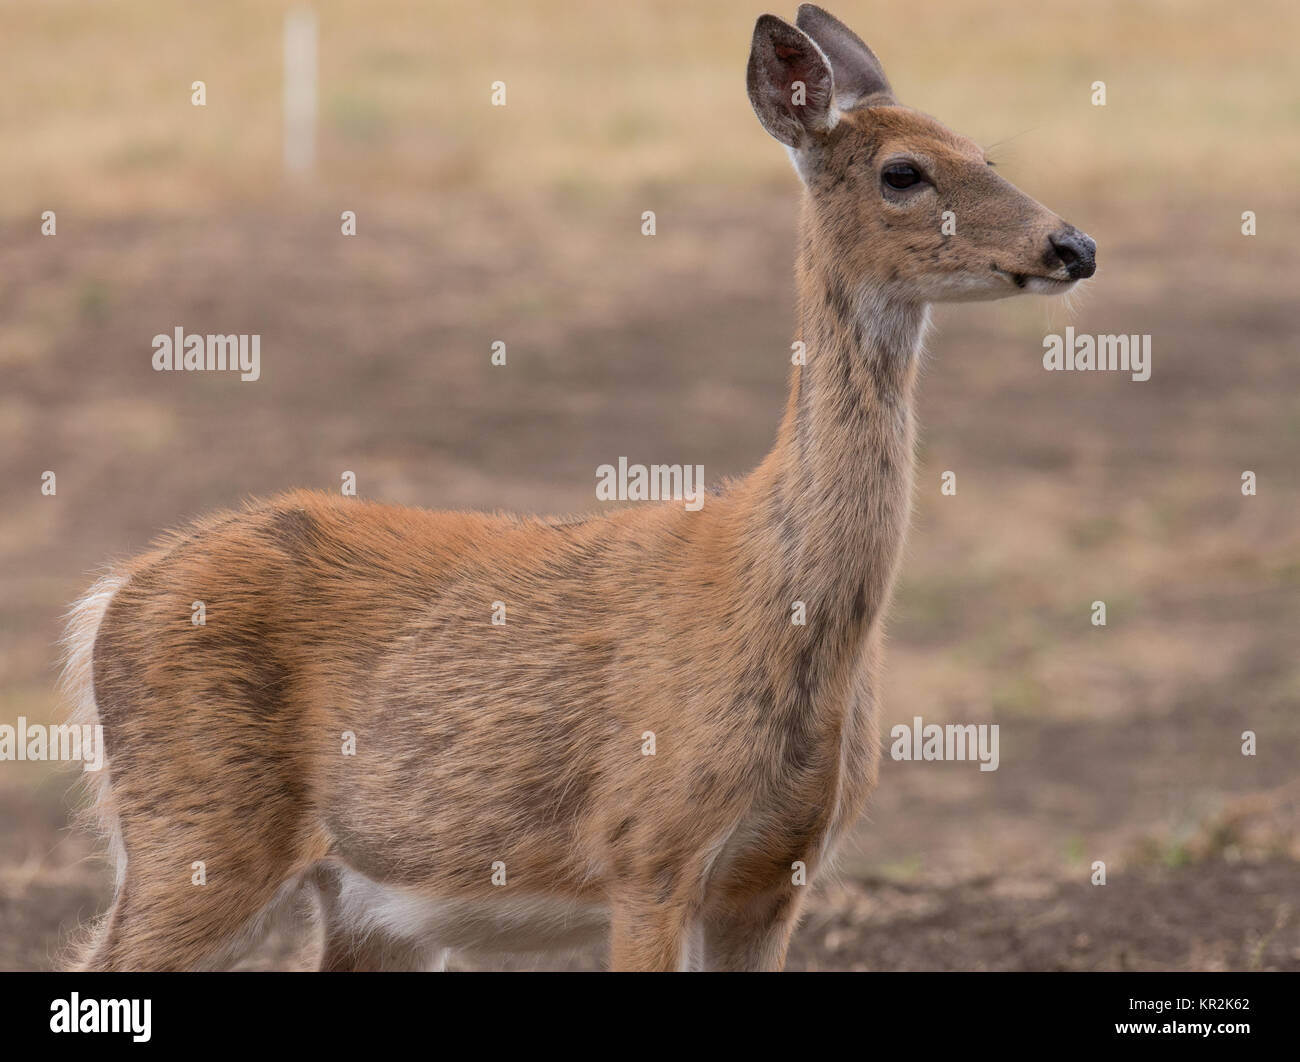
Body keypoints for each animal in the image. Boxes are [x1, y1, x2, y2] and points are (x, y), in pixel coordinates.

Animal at [60, 5, 1095, 972]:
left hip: (359, 898)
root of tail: (109, 598)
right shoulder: (647, 849)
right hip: (195, 830)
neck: (775, 600)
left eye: (986, 151)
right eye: (904, 172)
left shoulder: (778, 876)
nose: (1073, 243)